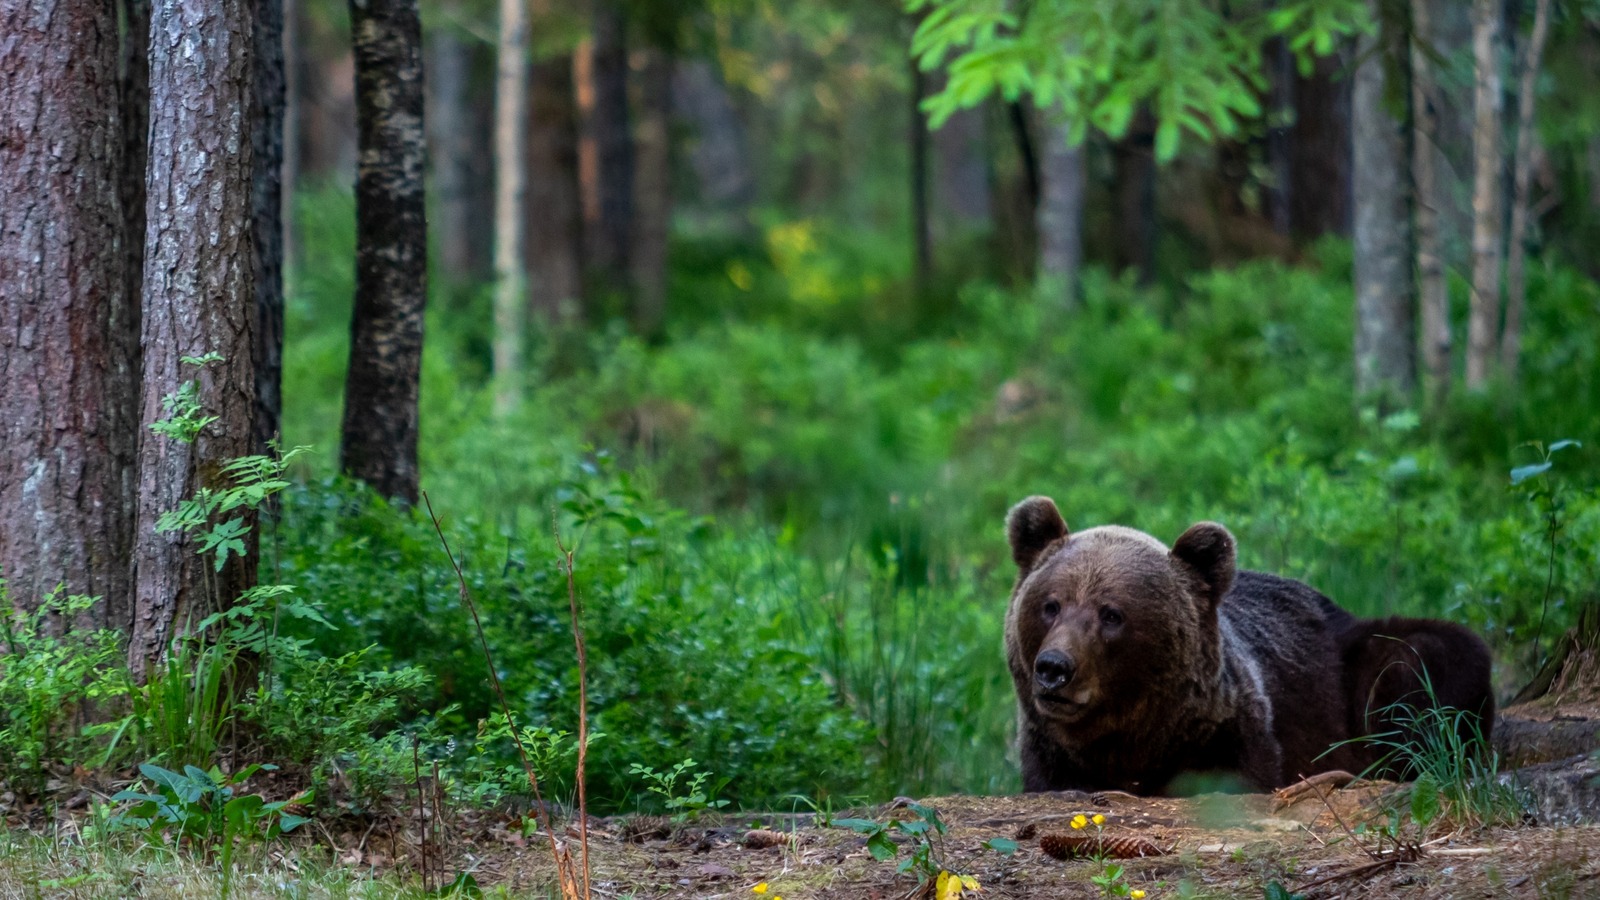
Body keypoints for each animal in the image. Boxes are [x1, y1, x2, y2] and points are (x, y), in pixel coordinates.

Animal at [1003, 495, 1495, 794]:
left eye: (1111, 614)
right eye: (1051, 605)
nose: (1054, 668)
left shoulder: (1230, 736)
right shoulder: (1051, 757)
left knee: (1426, 663)